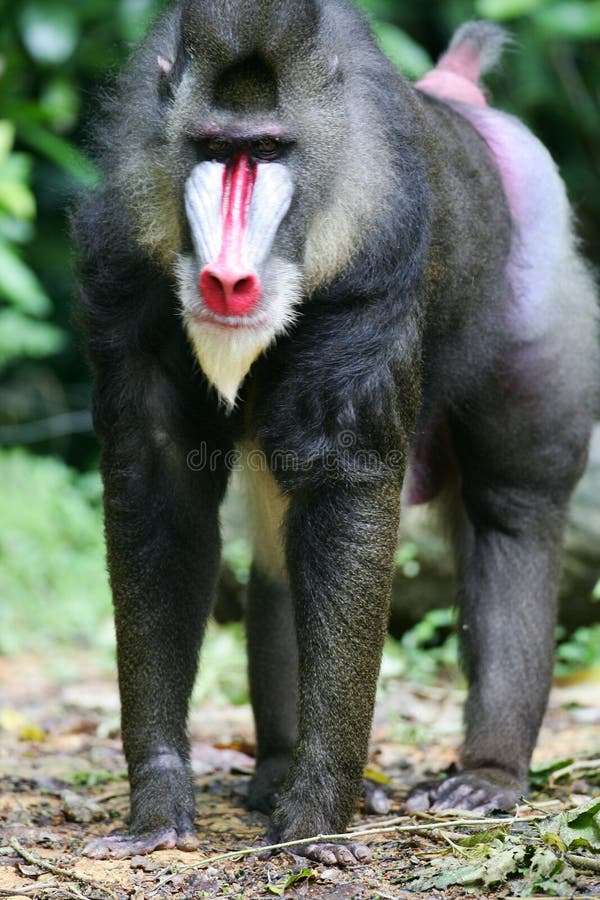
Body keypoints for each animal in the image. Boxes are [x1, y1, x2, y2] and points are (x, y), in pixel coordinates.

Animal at [75, 0, 599, 866]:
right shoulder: (123, 262)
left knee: (514, 514)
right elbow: (160, 492)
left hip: (538, 300)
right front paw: (159, 801)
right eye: (213, 149)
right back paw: (276, 773)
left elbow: (346, 483)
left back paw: (485, 776)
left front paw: (319, 818)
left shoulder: (375, 262)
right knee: (282, 549)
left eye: (267, 151)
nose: (227, 280)